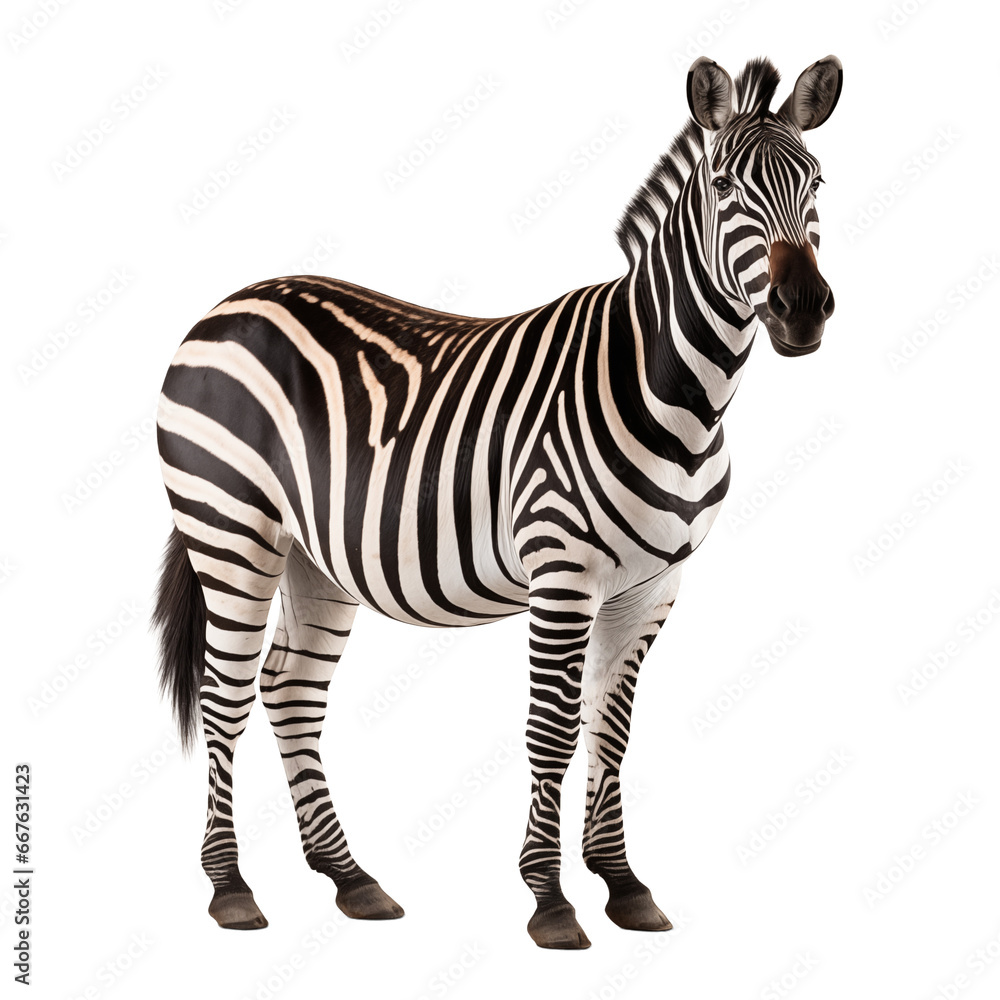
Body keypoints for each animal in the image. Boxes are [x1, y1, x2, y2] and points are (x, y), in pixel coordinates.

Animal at [152, 54, 842, 949]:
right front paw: (550, 900)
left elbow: (610, 730)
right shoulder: (562, 573)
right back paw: (231, 887)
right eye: (724, 185)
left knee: (290, 688)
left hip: (315, 557)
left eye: (818, 182)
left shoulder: (653, 584)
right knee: (224, 693)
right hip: (232, 528)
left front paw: (623, 885)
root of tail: (231, 301)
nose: (804, 311)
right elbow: (550, 729)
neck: (672, 388)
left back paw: (349, 877)